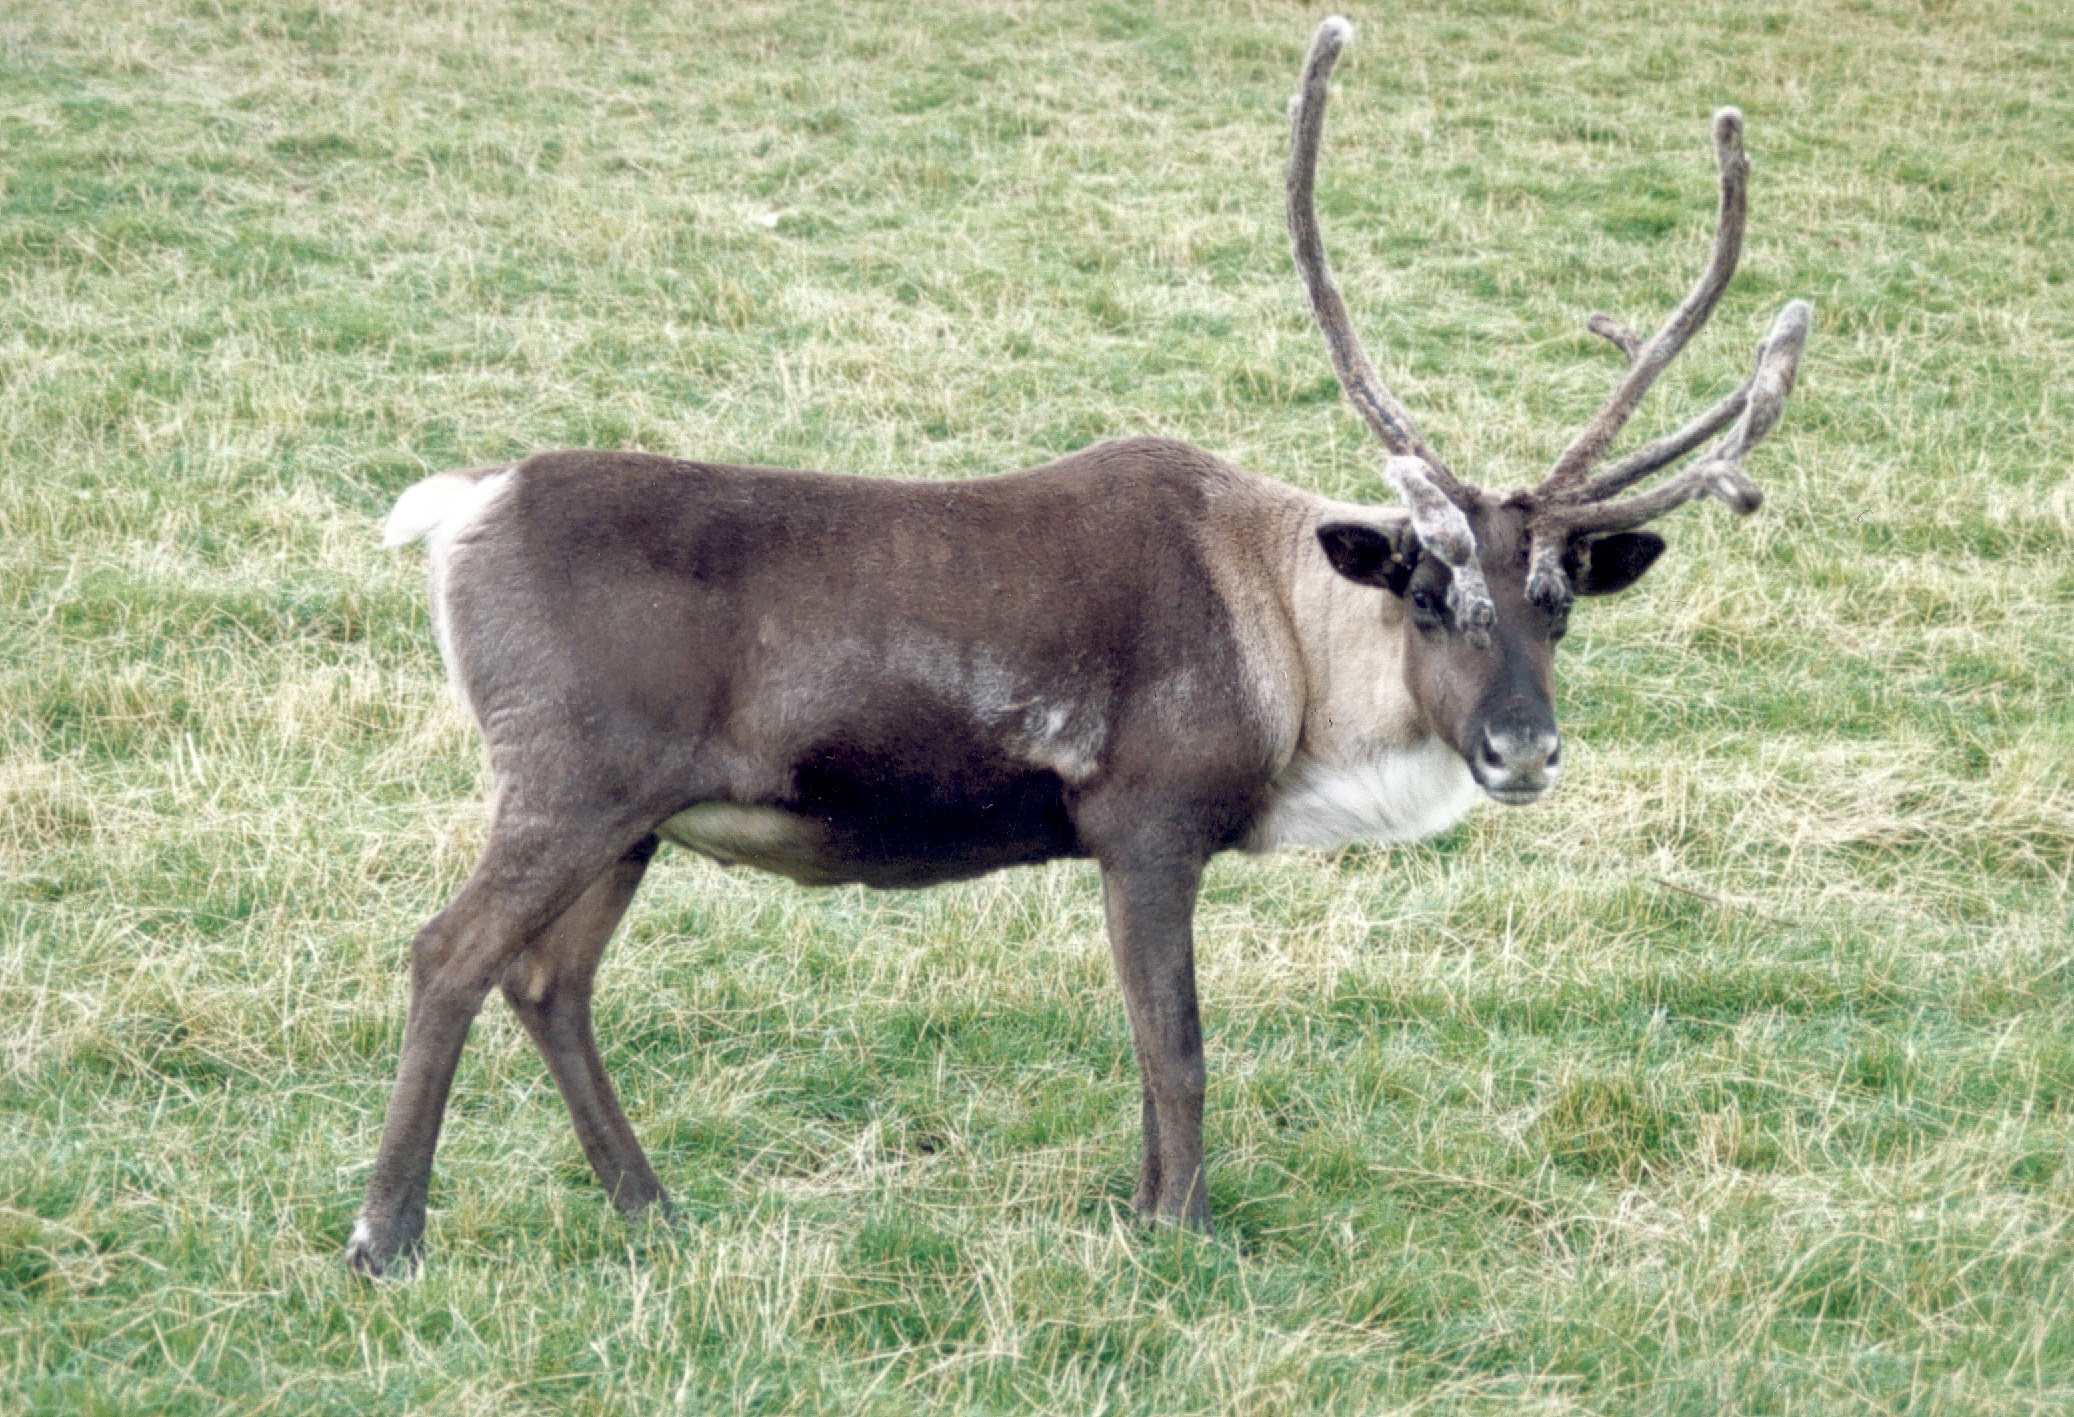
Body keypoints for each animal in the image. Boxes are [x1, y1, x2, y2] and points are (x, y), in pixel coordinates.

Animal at [346, 17, 1808, 1275]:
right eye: (1427, 592)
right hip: (570, 781)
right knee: (449, 952)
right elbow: (1177, 1046)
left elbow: (1159, 1051)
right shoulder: (1148, 823)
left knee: (549, 980)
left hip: (636, 816)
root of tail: (460, 505)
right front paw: (1181, 1232)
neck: (1291, 650)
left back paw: (650, 1208)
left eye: (1558, 598)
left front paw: (1153, 1216)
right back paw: (387, 1237)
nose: (1521, 748)